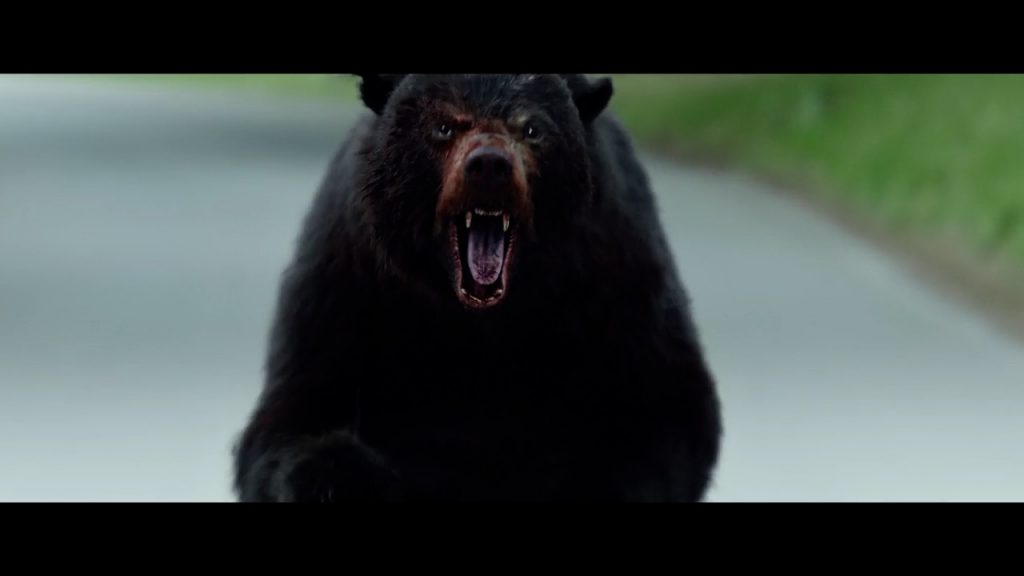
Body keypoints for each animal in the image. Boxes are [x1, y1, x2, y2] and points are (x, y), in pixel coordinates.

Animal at [232, 74, 723, 502]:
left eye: (533, 128)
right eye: (444, 125)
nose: (489, 165)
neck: (481, 321)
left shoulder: (614, 269)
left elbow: (664, 410)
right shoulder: (349, 275)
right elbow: (296, 417)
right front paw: (343, 481)